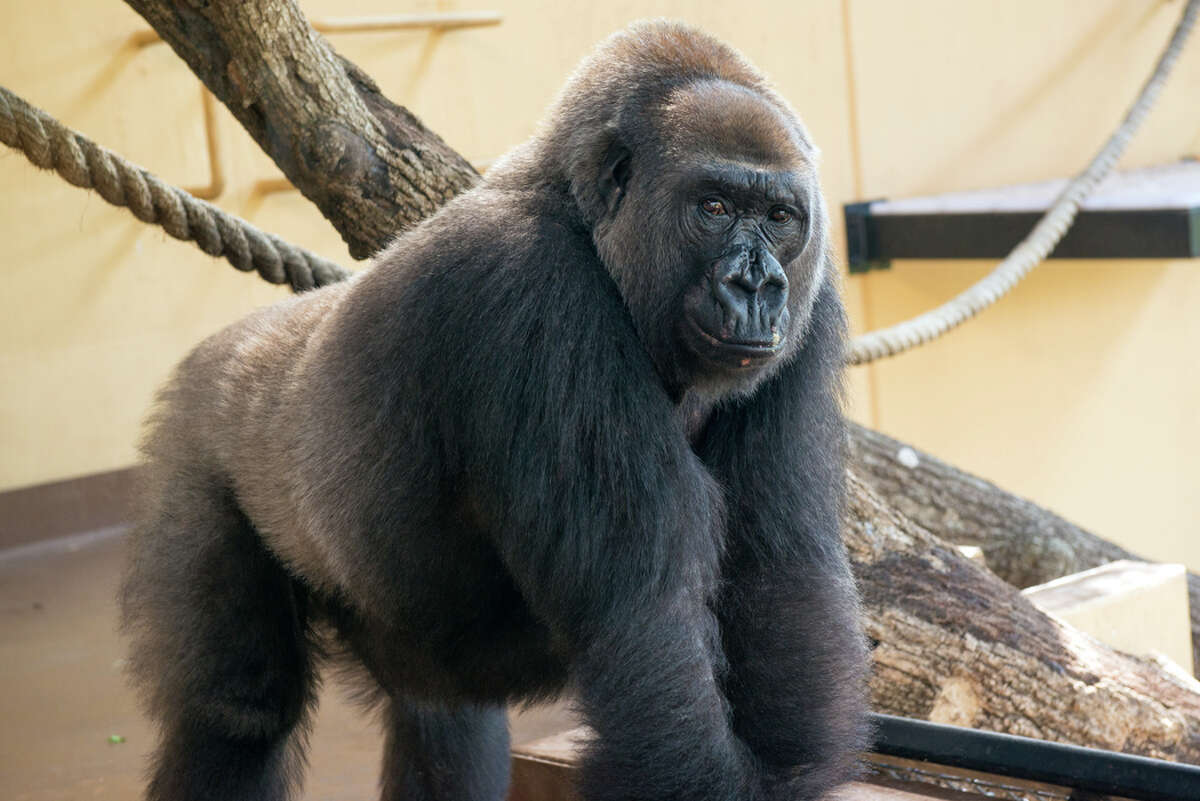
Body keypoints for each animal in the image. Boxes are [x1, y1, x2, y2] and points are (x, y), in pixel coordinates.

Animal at [120, 19, 869, 801]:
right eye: (715, 207)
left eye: (780, 218)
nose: (756, 286)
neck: (581, 212)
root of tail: (228, 344)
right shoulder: (536, 287)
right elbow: (644, 614)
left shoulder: (812, 301)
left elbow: (780, 565)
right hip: (192, 442)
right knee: (236, 712)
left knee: (442, 721)